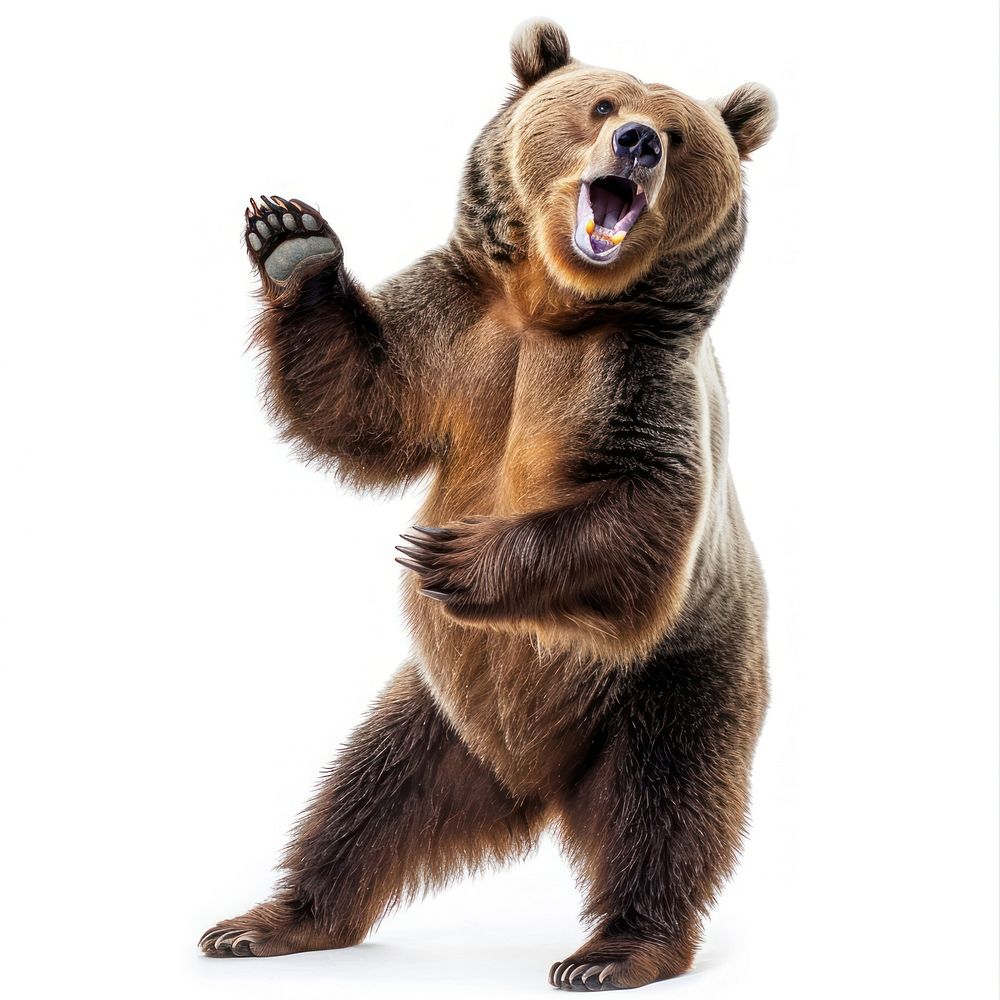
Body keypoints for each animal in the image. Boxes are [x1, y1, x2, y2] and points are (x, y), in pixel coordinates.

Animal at [199, 18, 776, 993]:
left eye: (681, 132)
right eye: (602, 104)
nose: (640, 144)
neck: (559, 308)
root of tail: (537, 778)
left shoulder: (642, 376)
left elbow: (642, 510)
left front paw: (450, 553)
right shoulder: (457, 330)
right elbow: (362, 398)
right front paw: (290, 237)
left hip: (674, 676)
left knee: (668, 802)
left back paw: (618, 948)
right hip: (440, 712)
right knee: (364, 799)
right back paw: (269, 920)